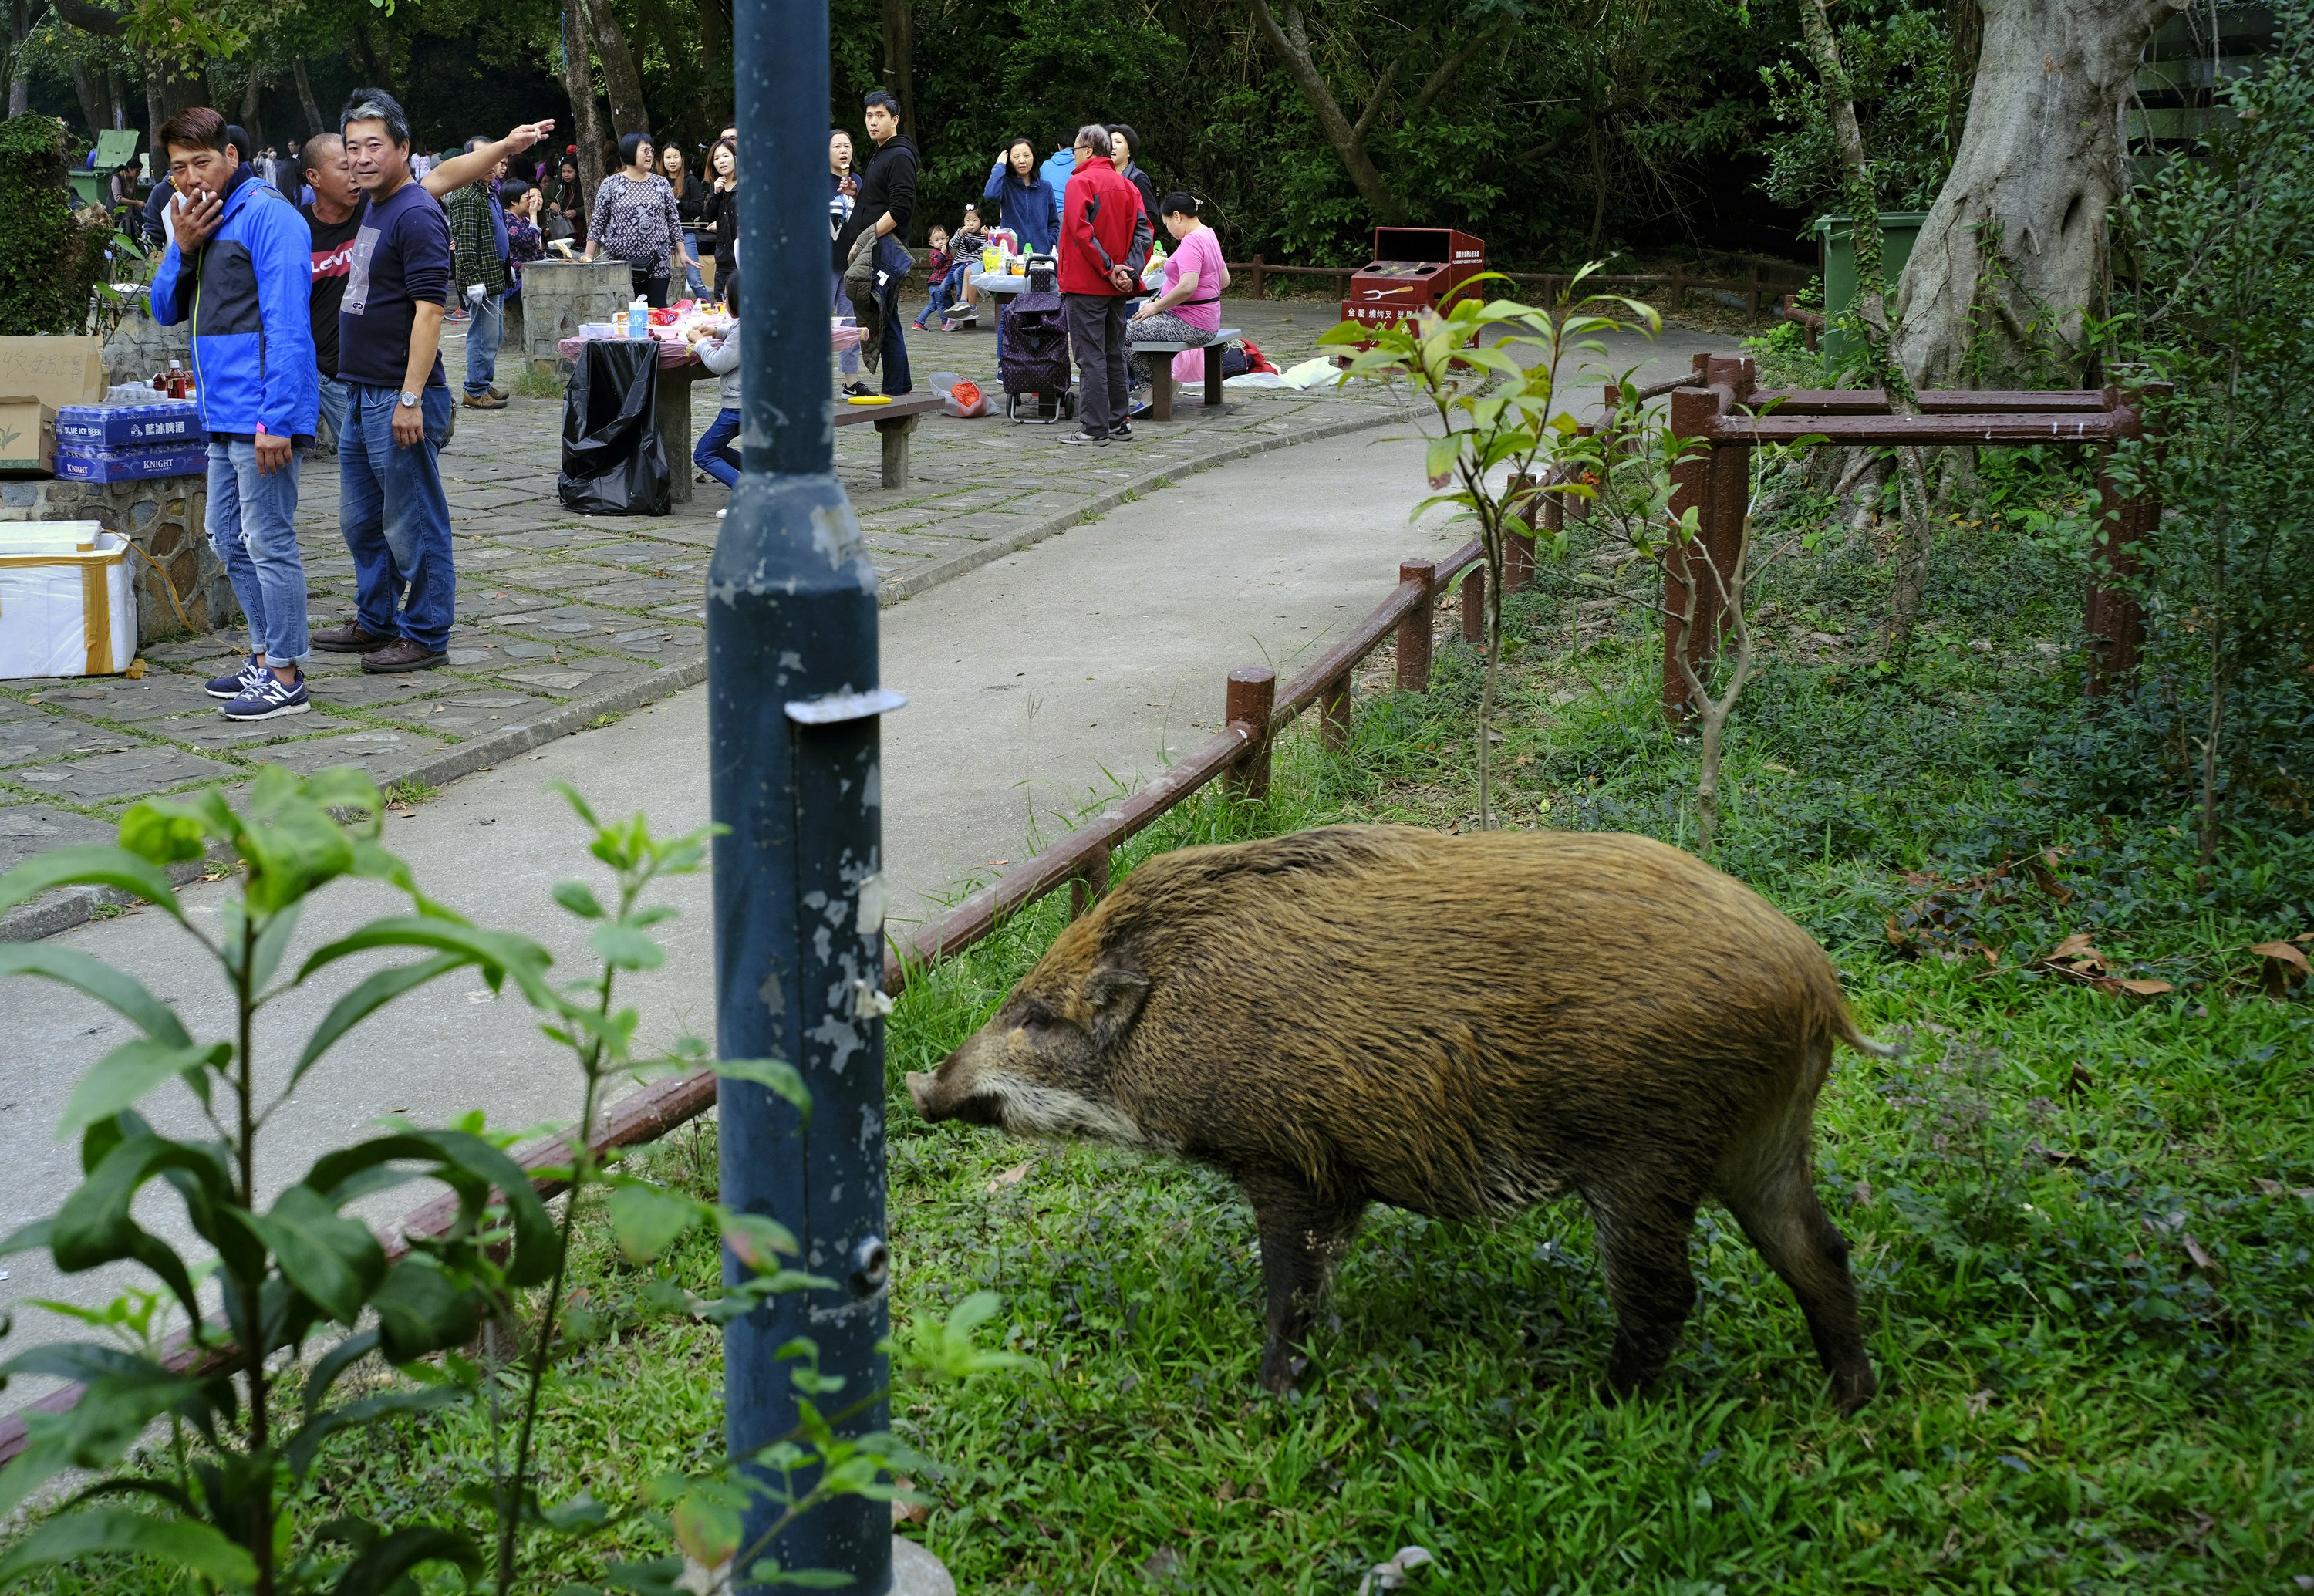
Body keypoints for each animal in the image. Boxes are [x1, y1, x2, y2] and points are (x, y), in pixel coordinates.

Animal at [907, 825, 1891, 1411]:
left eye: (1037, 1016)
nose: (921, 1084)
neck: (1179, 1017)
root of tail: (1813, 979)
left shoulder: (1290, 1162)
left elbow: (1291, 1290)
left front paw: (1269, 1399)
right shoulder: (1338, 1176)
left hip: (1649, 1159)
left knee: (1667, 1294)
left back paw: (1591, 1405)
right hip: (1761, 1144)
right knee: (1820, 1249)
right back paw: (1846, 1401)